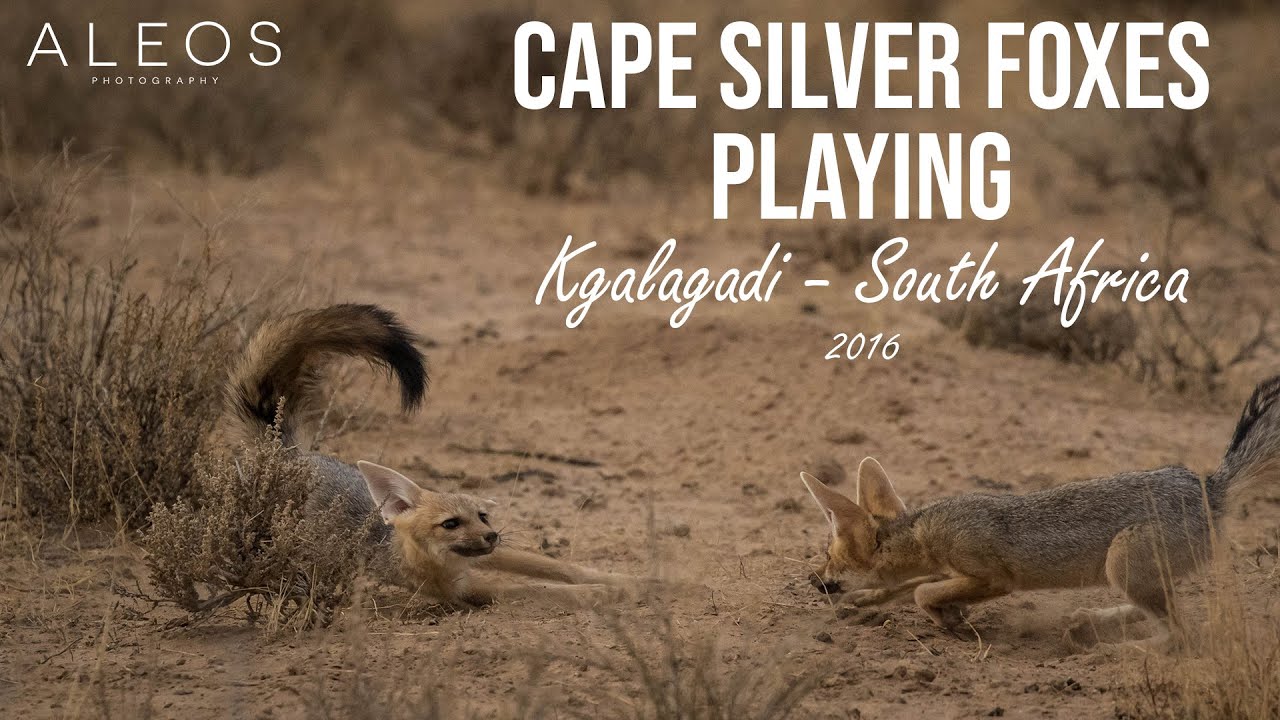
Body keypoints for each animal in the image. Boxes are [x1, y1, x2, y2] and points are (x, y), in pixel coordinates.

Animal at [225, 303, 633, 609]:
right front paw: (603, 594)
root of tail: (286, 452)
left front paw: (630, 579)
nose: (492, 535)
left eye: (482, 516)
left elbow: (563, 569)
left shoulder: (491, 555)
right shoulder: (467, 589)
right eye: (450, 524)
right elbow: (540, 589)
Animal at [800, 375, 1280, 648]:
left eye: (827, 555)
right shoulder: (948, 572)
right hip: (1130, 574)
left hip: (1121, 564)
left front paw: (949, 619)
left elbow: (921, 593)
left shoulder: (994, 579)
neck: (927, 530)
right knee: (1160, 616)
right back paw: (1087, 624)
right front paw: (867, 601)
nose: (811, 579)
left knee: (1181, 635)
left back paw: (1110, 649)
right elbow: (908, 588)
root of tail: (1209, 485)